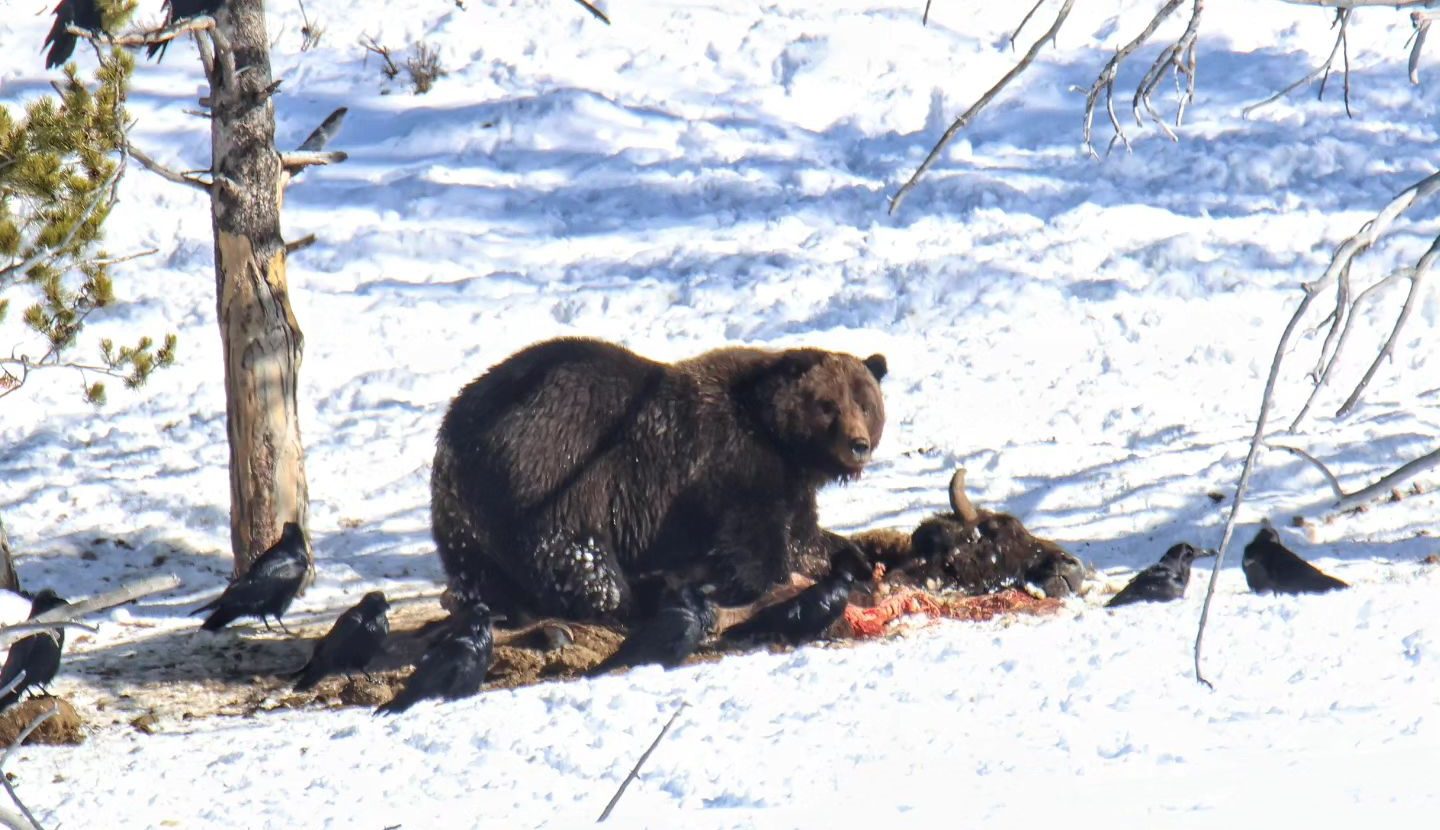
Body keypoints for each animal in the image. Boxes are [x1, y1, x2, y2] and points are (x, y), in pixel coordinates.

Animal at [430, 337, 888, 623]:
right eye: (828, 405)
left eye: (865, 404)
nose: (858, 445)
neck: (778, 438)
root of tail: (455, 429)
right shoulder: (733, 464)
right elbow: (754, 542)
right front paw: (771, 582)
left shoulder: (791, 482)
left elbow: (803, 537)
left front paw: (854, 556)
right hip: (551, 470)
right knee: (579, 556)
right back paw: (628, 601)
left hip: (463, 517)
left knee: (478, 570)